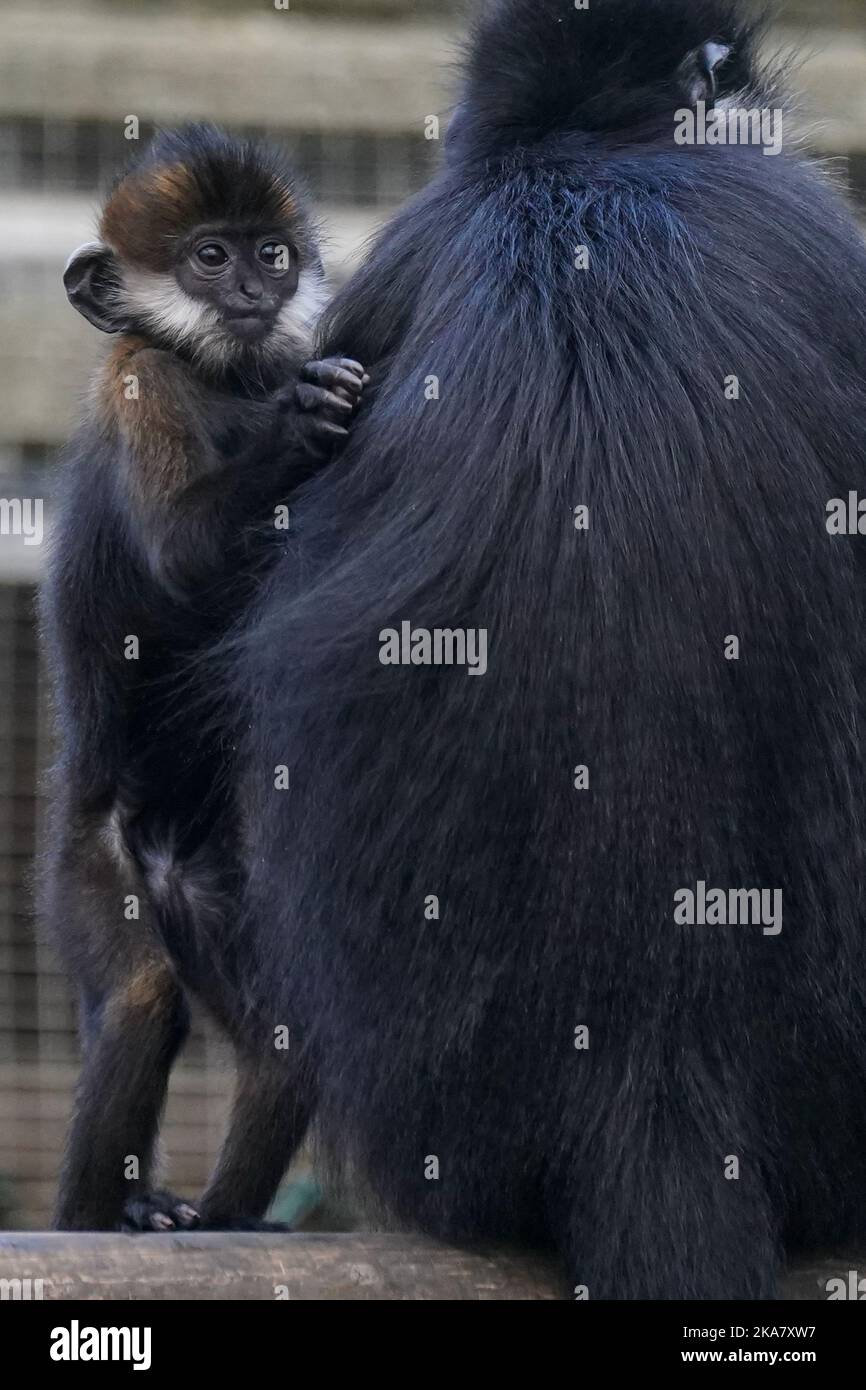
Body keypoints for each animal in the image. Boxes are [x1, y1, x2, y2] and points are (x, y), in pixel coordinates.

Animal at [39, 124, 366, 1232]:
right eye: (208, 259)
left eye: (271, 253)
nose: (254, 293)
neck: (225, 380)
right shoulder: (141, 378)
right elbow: (180, 558)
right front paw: (298, 424)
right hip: (94, 862)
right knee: (141, 1003)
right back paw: (100, 1225)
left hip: (212, 884)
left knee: (286, 1040)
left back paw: (219, 1218)